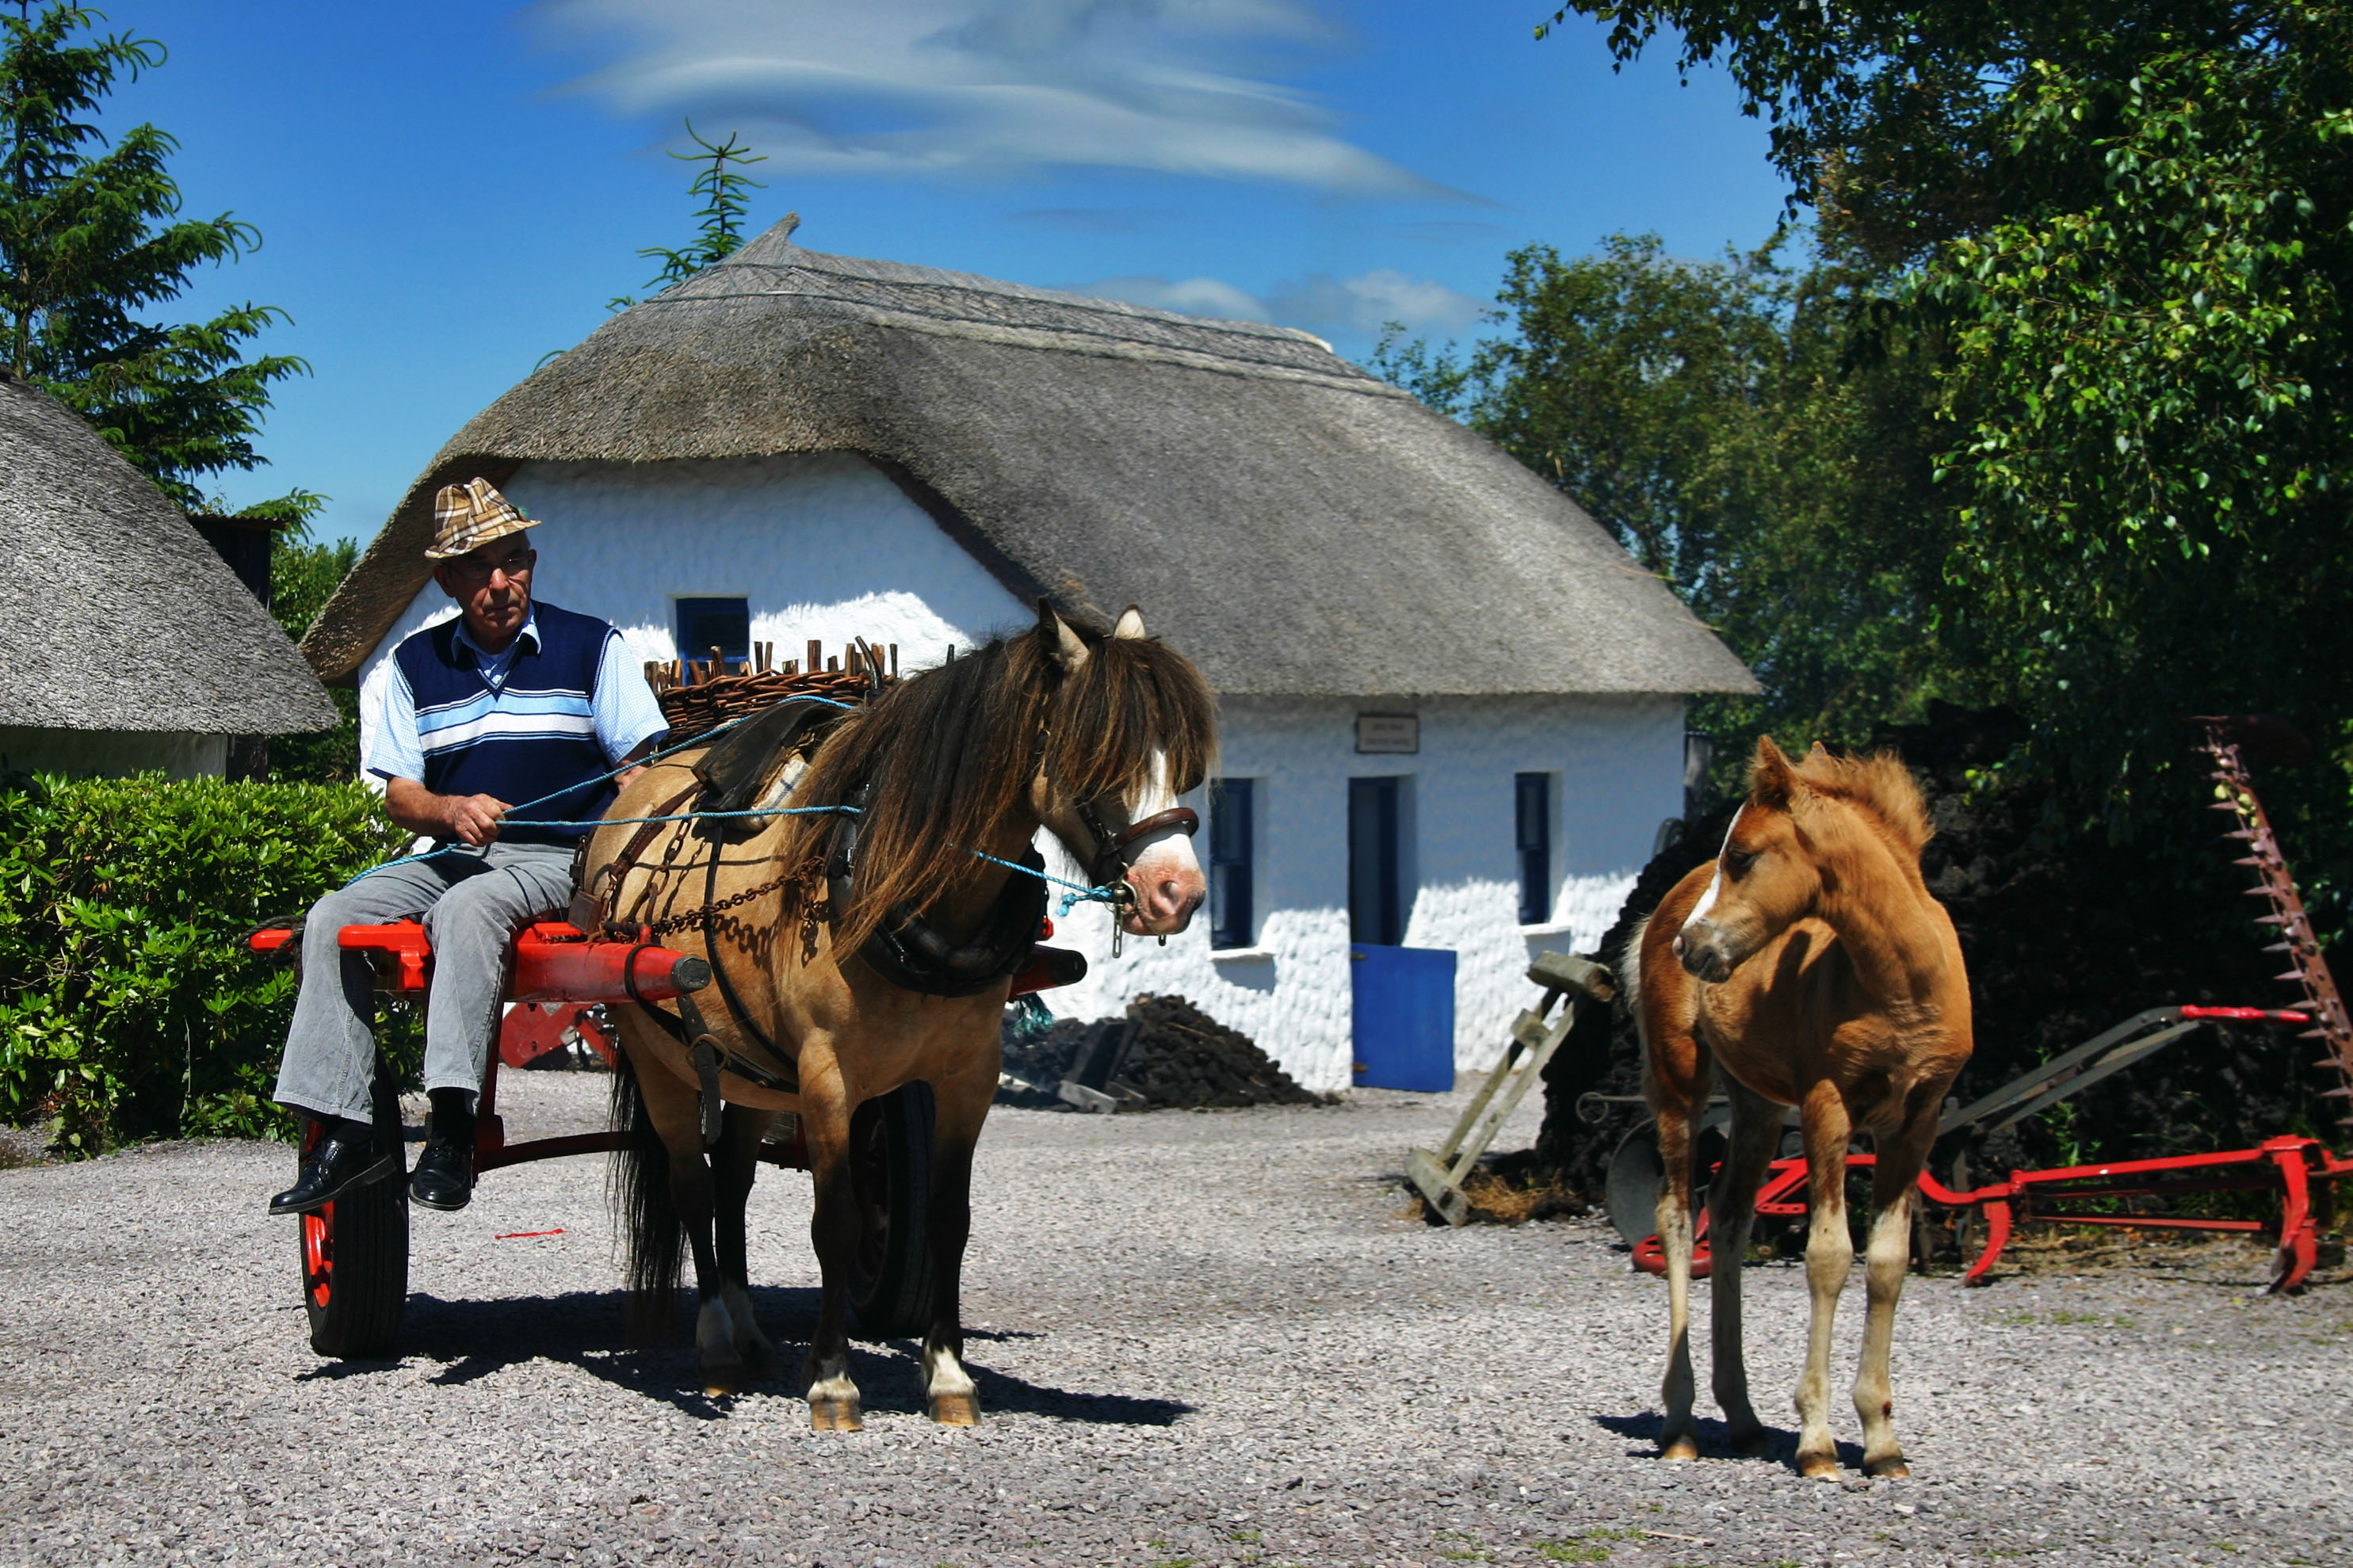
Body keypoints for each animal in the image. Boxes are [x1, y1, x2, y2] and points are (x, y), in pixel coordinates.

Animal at [582, 601, 1214, 1429]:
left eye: (1185, 761)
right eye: (1096, 756)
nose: (1178, 892)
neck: (892, 878)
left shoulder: (967, 1077)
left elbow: (948, 1219)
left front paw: (947, 1374)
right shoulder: (825, 1077)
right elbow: (836, 1222)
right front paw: (832, 1381)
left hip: (744, 1066)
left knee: (732, 1186)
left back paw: (747, 1329)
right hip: (660, 1057)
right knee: (691, 1185)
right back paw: (717, 1342)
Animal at [1624, 737, 1971, 1479]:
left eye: (1742, 854)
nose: (1690, 945)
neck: (1900, 986)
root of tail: (1664, 905)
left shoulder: (1917, 1123)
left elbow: (1887, 1262)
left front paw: (1880, 1440)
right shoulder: (1826, 1107)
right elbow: (1828, 1254)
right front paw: (1816, 1439)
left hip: (1755, 1105)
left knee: (1729, 1218)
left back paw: (1744, 1419)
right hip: (1680, 1080)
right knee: (1677, 1217)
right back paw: (1680, 1424)